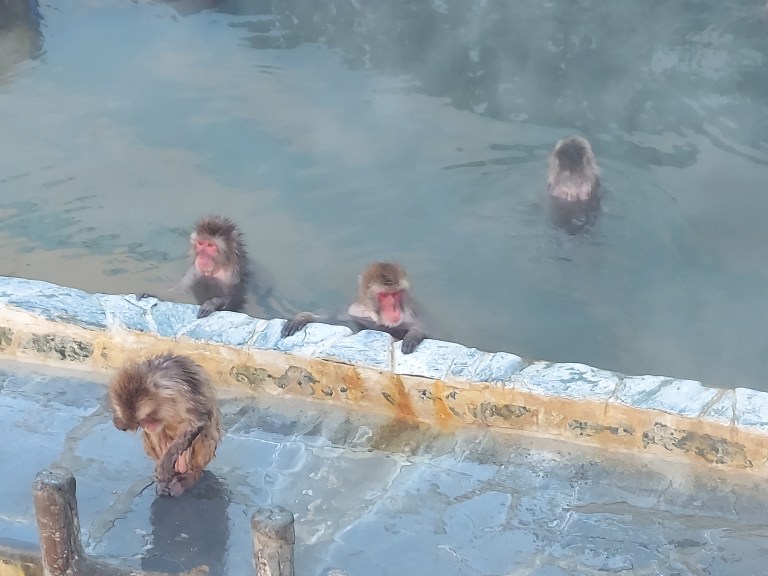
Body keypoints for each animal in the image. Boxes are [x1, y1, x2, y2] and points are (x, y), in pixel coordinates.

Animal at [109, 353, 223, 497]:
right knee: (156, 434)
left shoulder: (182, 392)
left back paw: (191, 475)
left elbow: (198, 422)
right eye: (141, 421)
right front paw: (120, 421)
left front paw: (165, 465)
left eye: (148, 417)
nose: (148, 426)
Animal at [281, 262, 426, 354]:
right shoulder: (354, 311)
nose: (394, 308)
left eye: (396, 294)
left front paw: (414, 335)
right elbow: (333, 317)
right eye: (384, 295)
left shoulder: (409, 314)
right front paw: (303, 317)